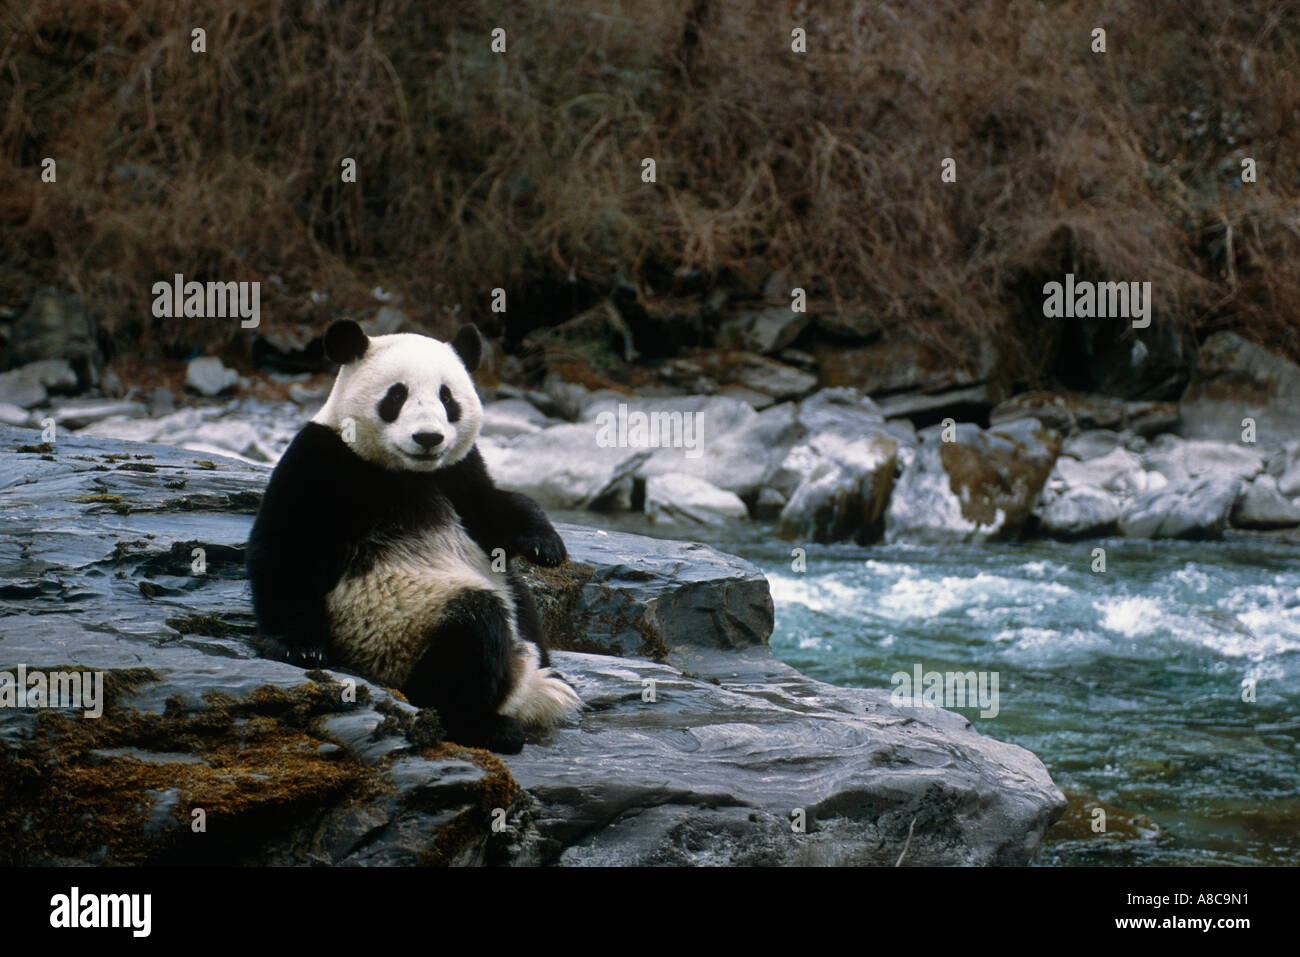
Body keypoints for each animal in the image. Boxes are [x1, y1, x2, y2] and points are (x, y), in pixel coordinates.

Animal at [247, 318, 580, 754]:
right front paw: (299, 647)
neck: (407, 472)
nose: (428, 438)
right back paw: (489, 726)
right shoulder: (323, 459)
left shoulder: (457, 473)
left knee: (521, 599)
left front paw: (546, 546)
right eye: (397, 395)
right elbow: (287, 548)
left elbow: (494, 509)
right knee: (470, 638)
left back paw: (548, 680)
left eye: (447, 397)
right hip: (398, 631)